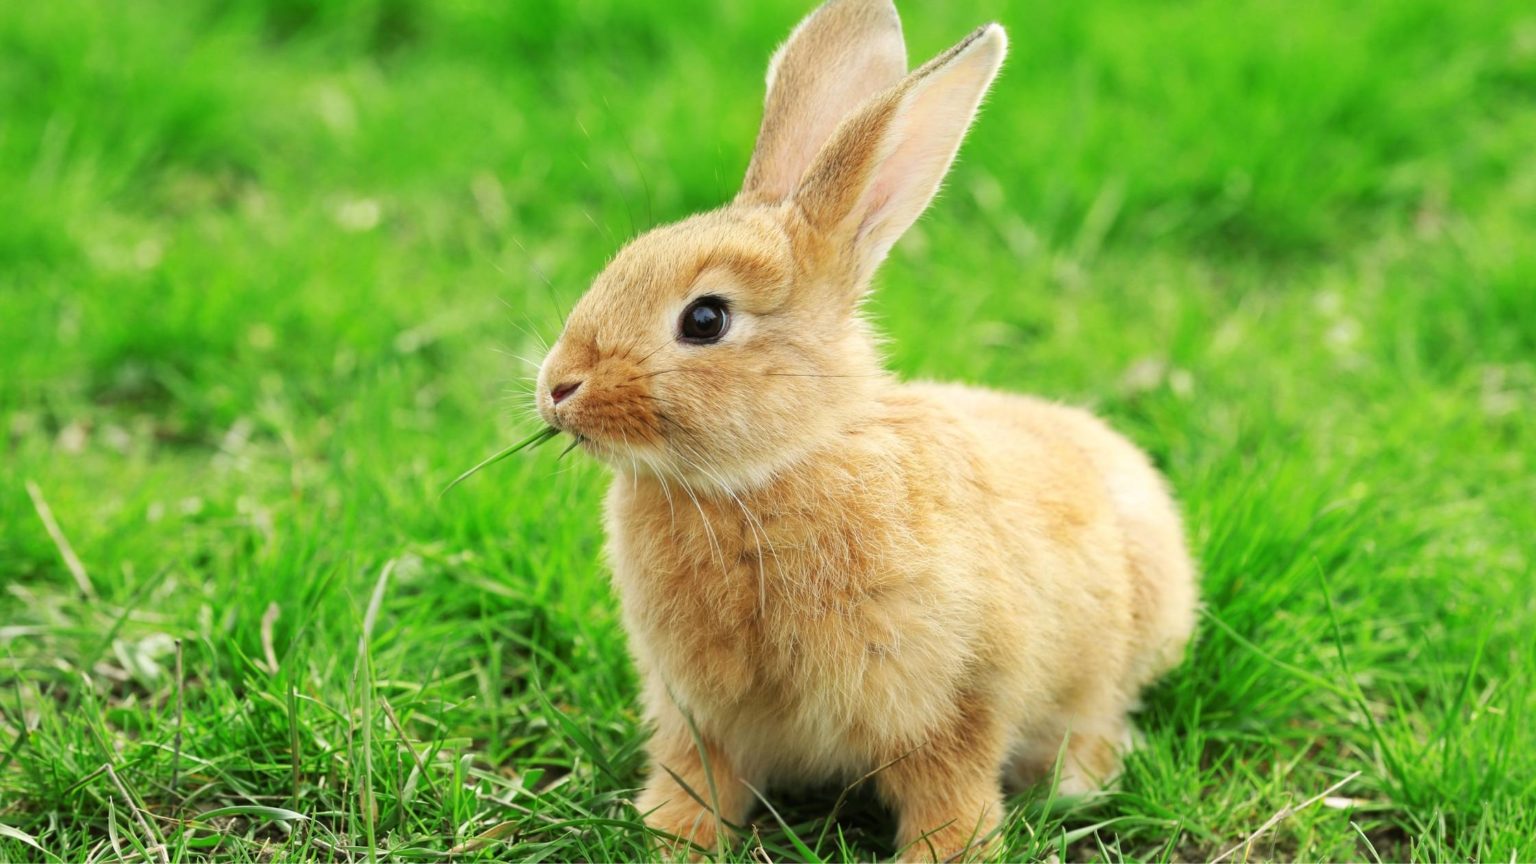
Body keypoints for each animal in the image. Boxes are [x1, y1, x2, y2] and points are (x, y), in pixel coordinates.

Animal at [532, 0, 1199, 859]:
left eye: (705, 319)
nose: (557, 389)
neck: (772, 470)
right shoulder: (701, 715)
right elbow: (696, 775)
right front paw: (671, 836)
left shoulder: (955, 695)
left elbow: (951, 790)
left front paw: (947, 853)